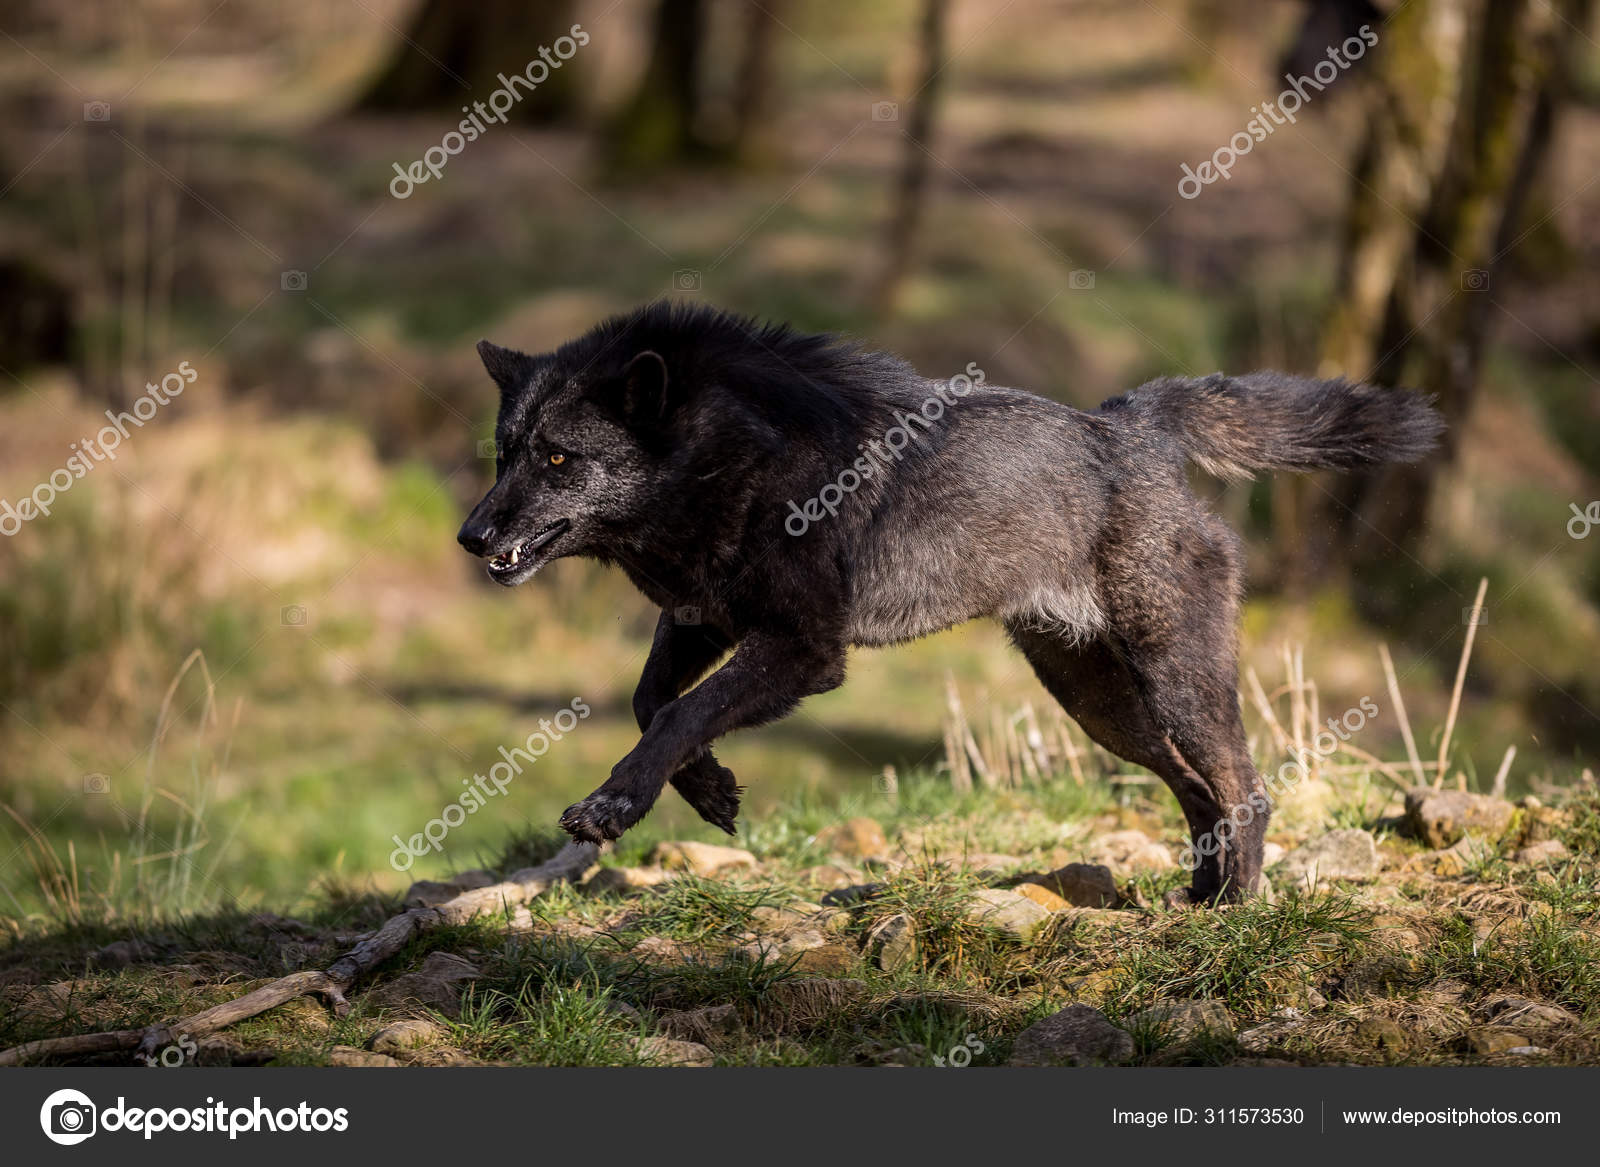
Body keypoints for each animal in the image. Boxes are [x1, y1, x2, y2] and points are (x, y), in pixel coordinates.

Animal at [458, 301, 1441, 904]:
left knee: (1246, 785)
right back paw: (1198, 898)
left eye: (557, 458)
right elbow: (651, 700)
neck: (737, 462)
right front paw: (710, 790)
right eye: (504, 451)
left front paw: (613, 805)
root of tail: (1130, 424)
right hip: (1097, 703)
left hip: (1175, 680)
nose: (470, 535)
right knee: (1198, 789)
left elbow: (678, 712)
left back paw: (1235, 908)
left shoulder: (804, 650)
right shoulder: (704, 619)